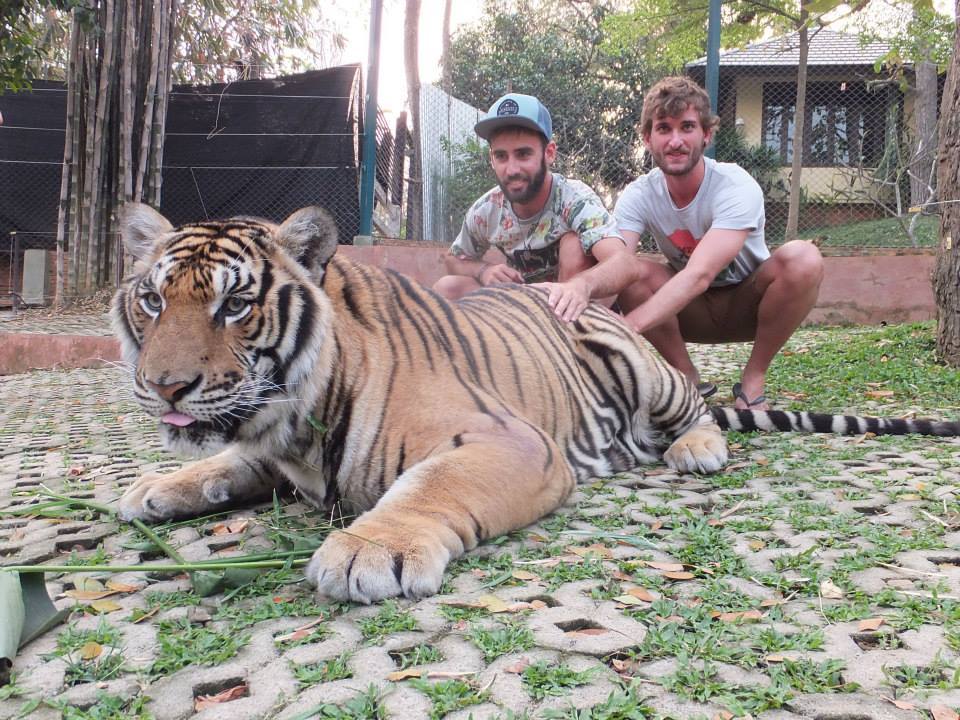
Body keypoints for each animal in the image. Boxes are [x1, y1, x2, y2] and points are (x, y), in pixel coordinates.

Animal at [112, 205, 960, 604]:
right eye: (153, 300)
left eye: (233, 306)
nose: (166, 386)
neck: (296, 421)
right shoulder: (274, 450)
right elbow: (230, 460)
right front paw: (159, 485)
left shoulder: (507, 440)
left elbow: (428, 487)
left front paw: (368, 549)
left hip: (639, 364)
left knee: (700, 408)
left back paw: (695, 449)